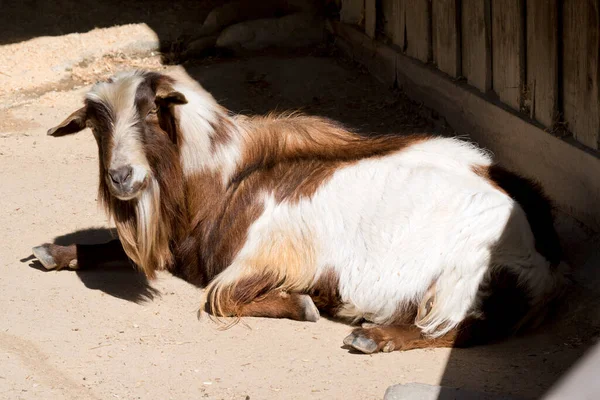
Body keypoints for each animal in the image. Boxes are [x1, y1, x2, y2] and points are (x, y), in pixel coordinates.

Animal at [34, 69, 568, 354]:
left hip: (460, 278)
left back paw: (372, 336)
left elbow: (220, 299)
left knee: (470, 326)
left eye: (150, 112)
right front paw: (55, 252)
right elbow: (117, 249)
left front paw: (303, 303)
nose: (120, 177)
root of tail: (544, 247)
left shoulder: (259, 257)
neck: (221, 180)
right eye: (95, 126)